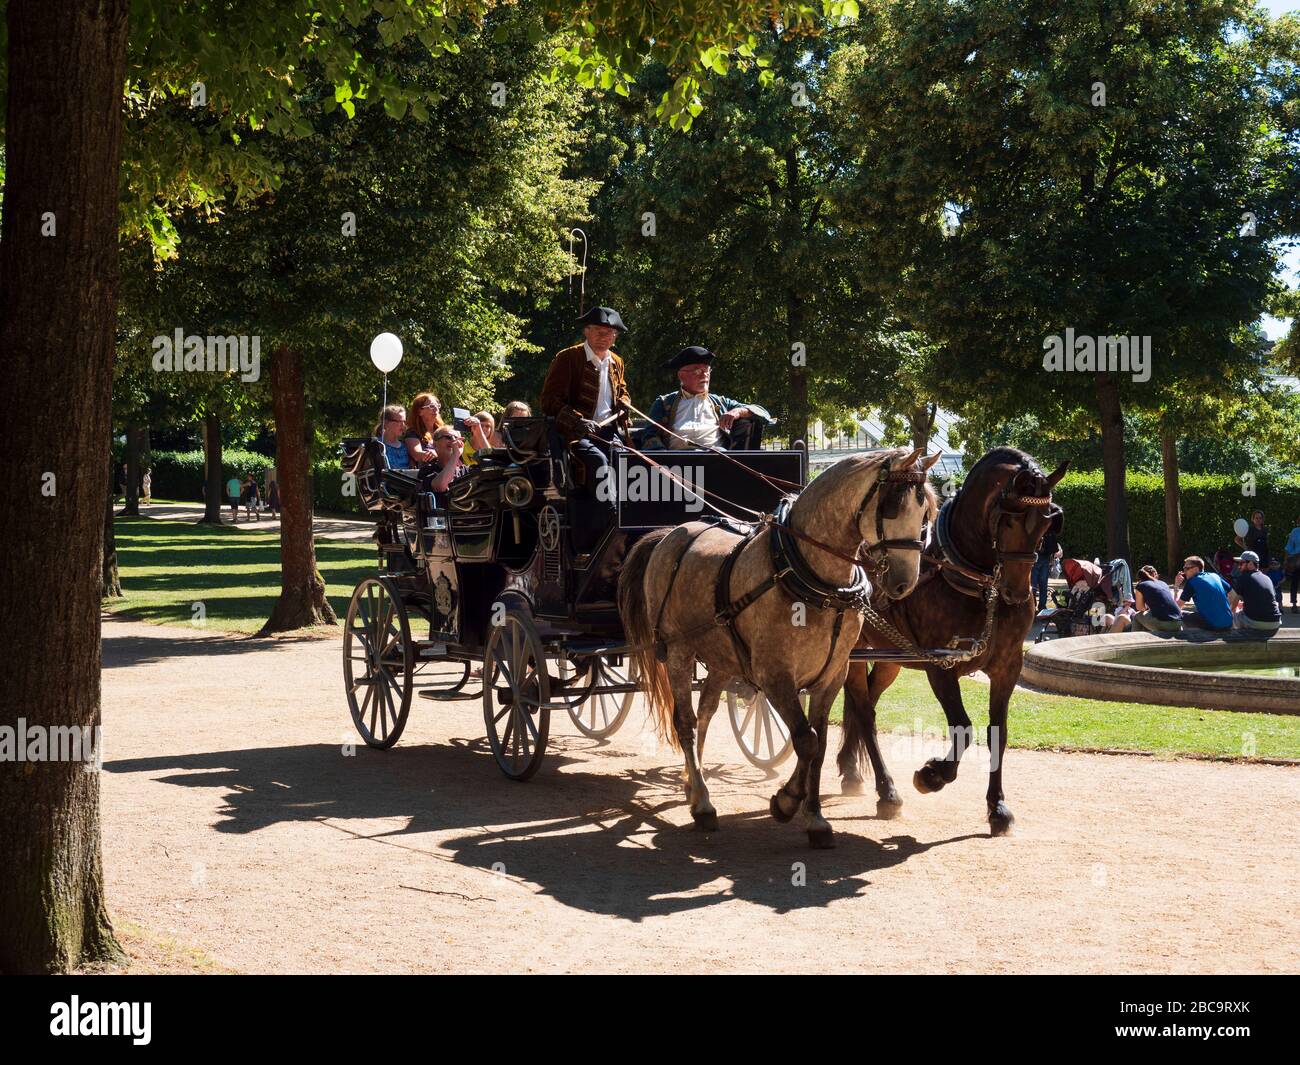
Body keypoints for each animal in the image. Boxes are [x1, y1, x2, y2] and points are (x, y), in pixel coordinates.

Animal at [618, 446, 940, 848]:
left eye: (927, 513)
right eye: (894, 506)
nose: (903, 583)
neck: (813, 580)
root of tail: (670, 533)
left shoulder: (831, 677)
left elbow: (818, 744)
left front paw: (814, 816)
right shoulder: (774, 676)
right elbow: (806, 740)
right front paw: (788, 801)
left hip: (721, 658)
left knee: (705, 714)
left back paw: (694, 785)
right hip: (678, 652)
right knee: (686, 723)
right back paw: (703, 804)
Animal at [835, 447, 1066, 835]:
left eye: (1048, 522)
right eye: (1009, 521)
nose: (1017, 593)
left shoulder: (1008, 666)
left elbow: (998, 733)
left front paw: (996, 807)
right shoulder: (940, 666)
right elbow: (963, 728)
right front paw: (933, 775)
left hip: (888, 659)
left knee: (865, 702)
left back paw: (850, 768)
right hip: (853, 650)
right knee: (864, 711)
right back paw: (887, 792)